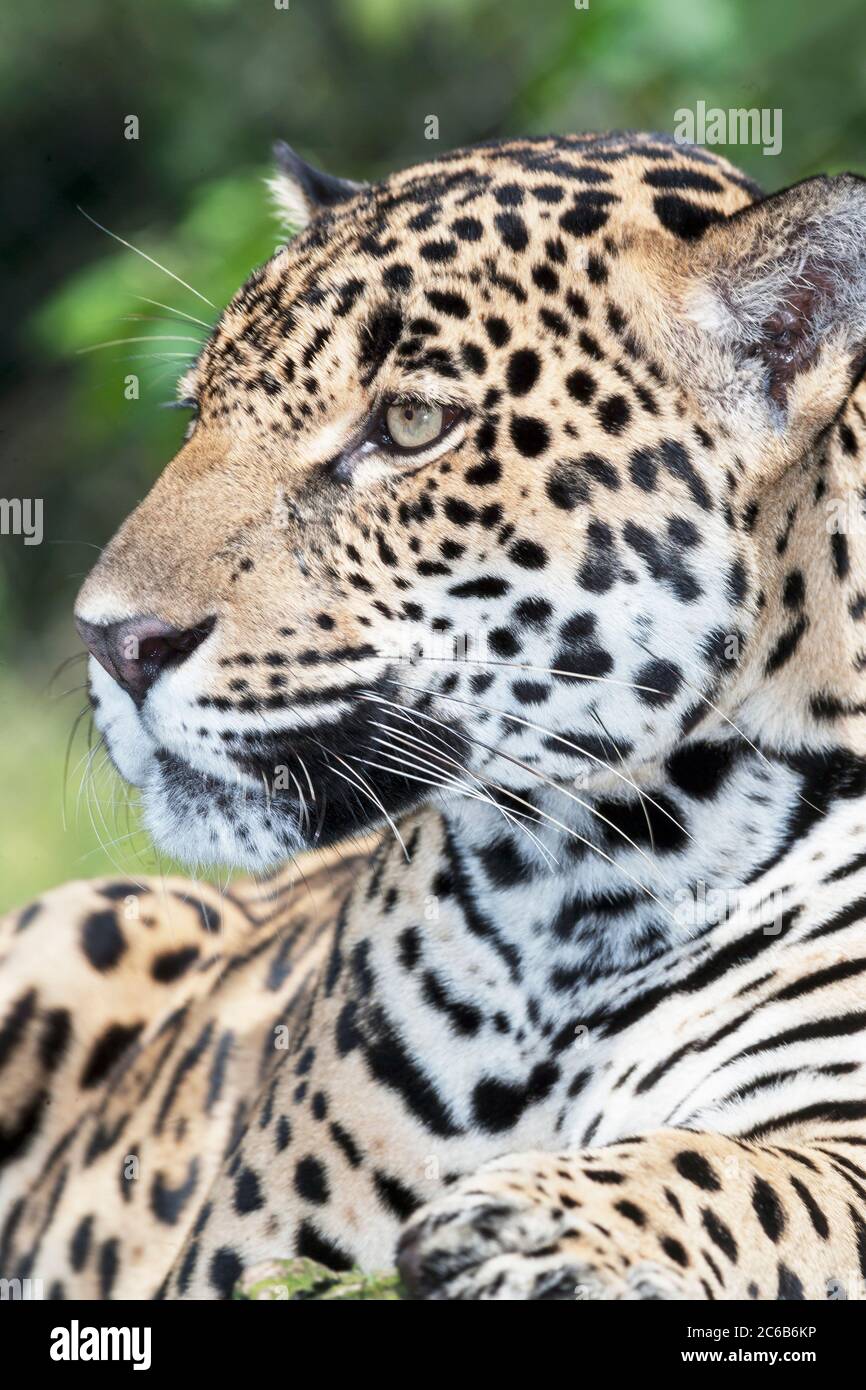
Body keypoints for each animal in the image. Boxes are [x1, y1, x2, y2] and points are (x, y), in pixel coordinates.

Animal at [3, 130, 866, 1301]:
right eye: (198, 419)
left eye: (409, 425)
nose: (112, 639)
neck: (585, 881)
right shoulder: (236, 1256)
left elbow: (757, 1177)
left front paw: (531, 1222)